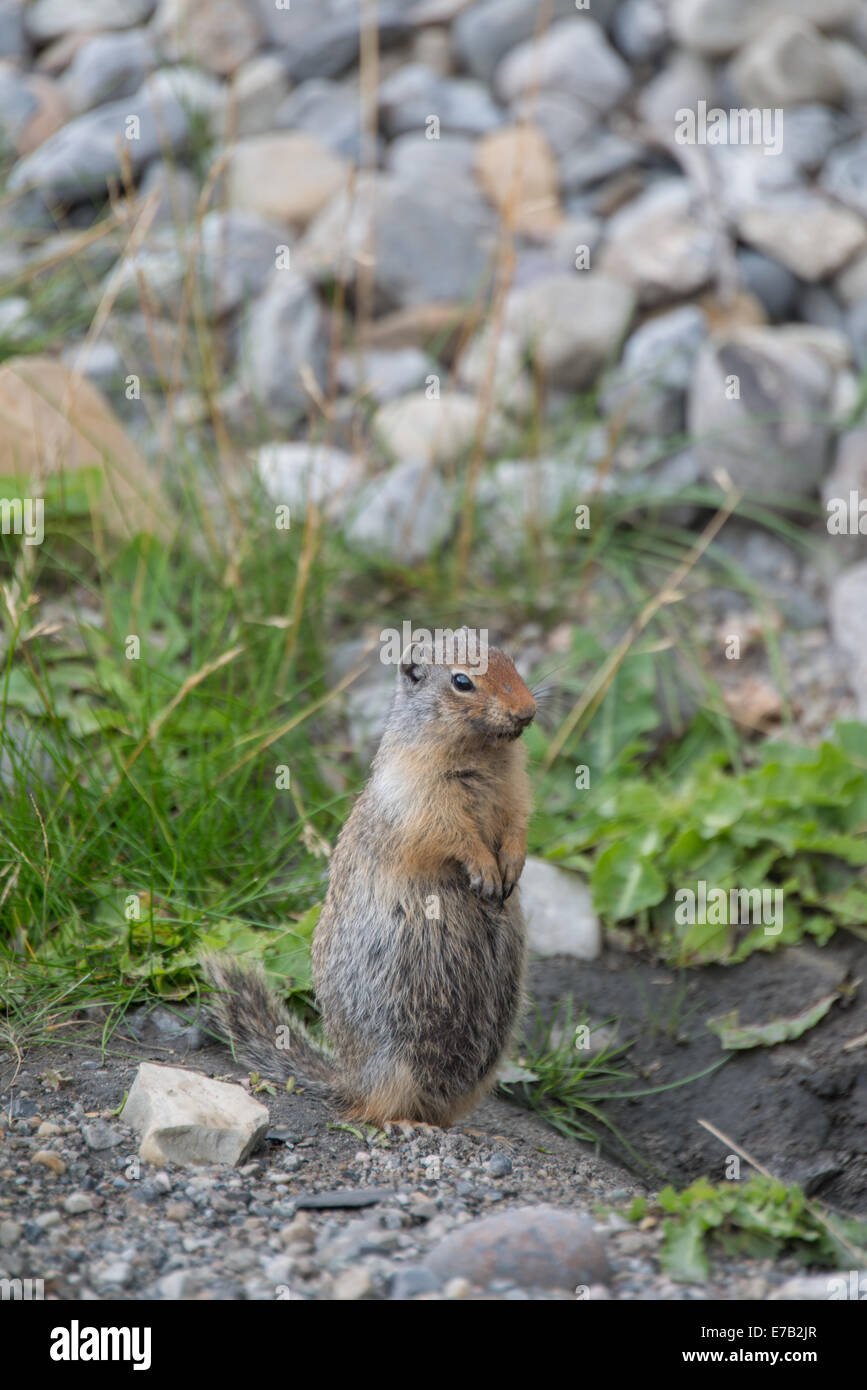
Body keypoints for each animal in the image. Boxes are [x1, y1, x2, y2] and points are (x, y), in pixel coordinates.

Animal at [203, 630, 536, 1131]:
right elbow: (450, 833)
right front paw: (483, 869)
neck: (483, 756)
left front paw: (510, 867)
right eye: (462, 681)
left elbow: (518, 825)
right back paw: (403, 1122)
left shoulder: (515, 791)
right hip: (396, 1060)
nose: (528, 711)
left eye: (512, 662)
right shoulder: (420, 798)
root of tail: (348, 1080)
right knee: (377, 1109)